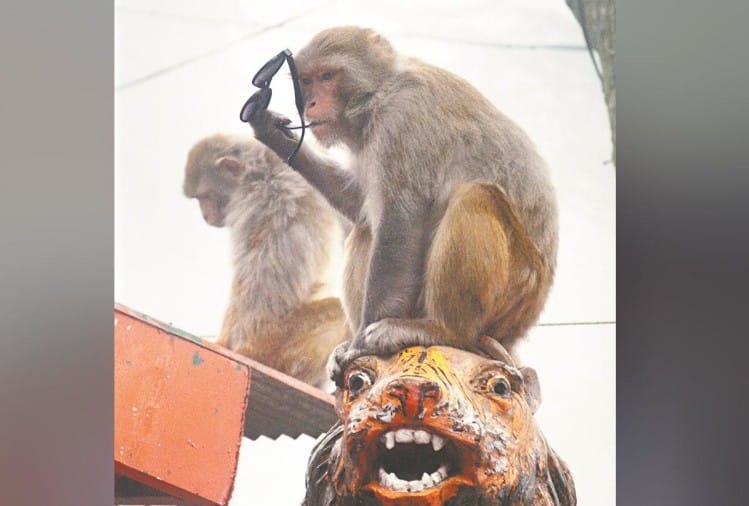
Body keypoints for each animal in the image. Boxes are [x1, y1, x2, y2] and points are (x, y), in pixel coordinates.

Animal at [248, 26, 559, 382]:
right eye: (307, 81)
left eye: (327, 76)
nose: (311, 103)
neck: (379, 93)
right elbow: (359, 202)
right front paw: (271, 130)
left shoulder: (400, 118)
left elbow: (400, 220)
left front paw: (359, 345)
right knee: (366, 227)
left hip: (517, 292)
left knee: (473, 197)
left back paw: (443, 330)